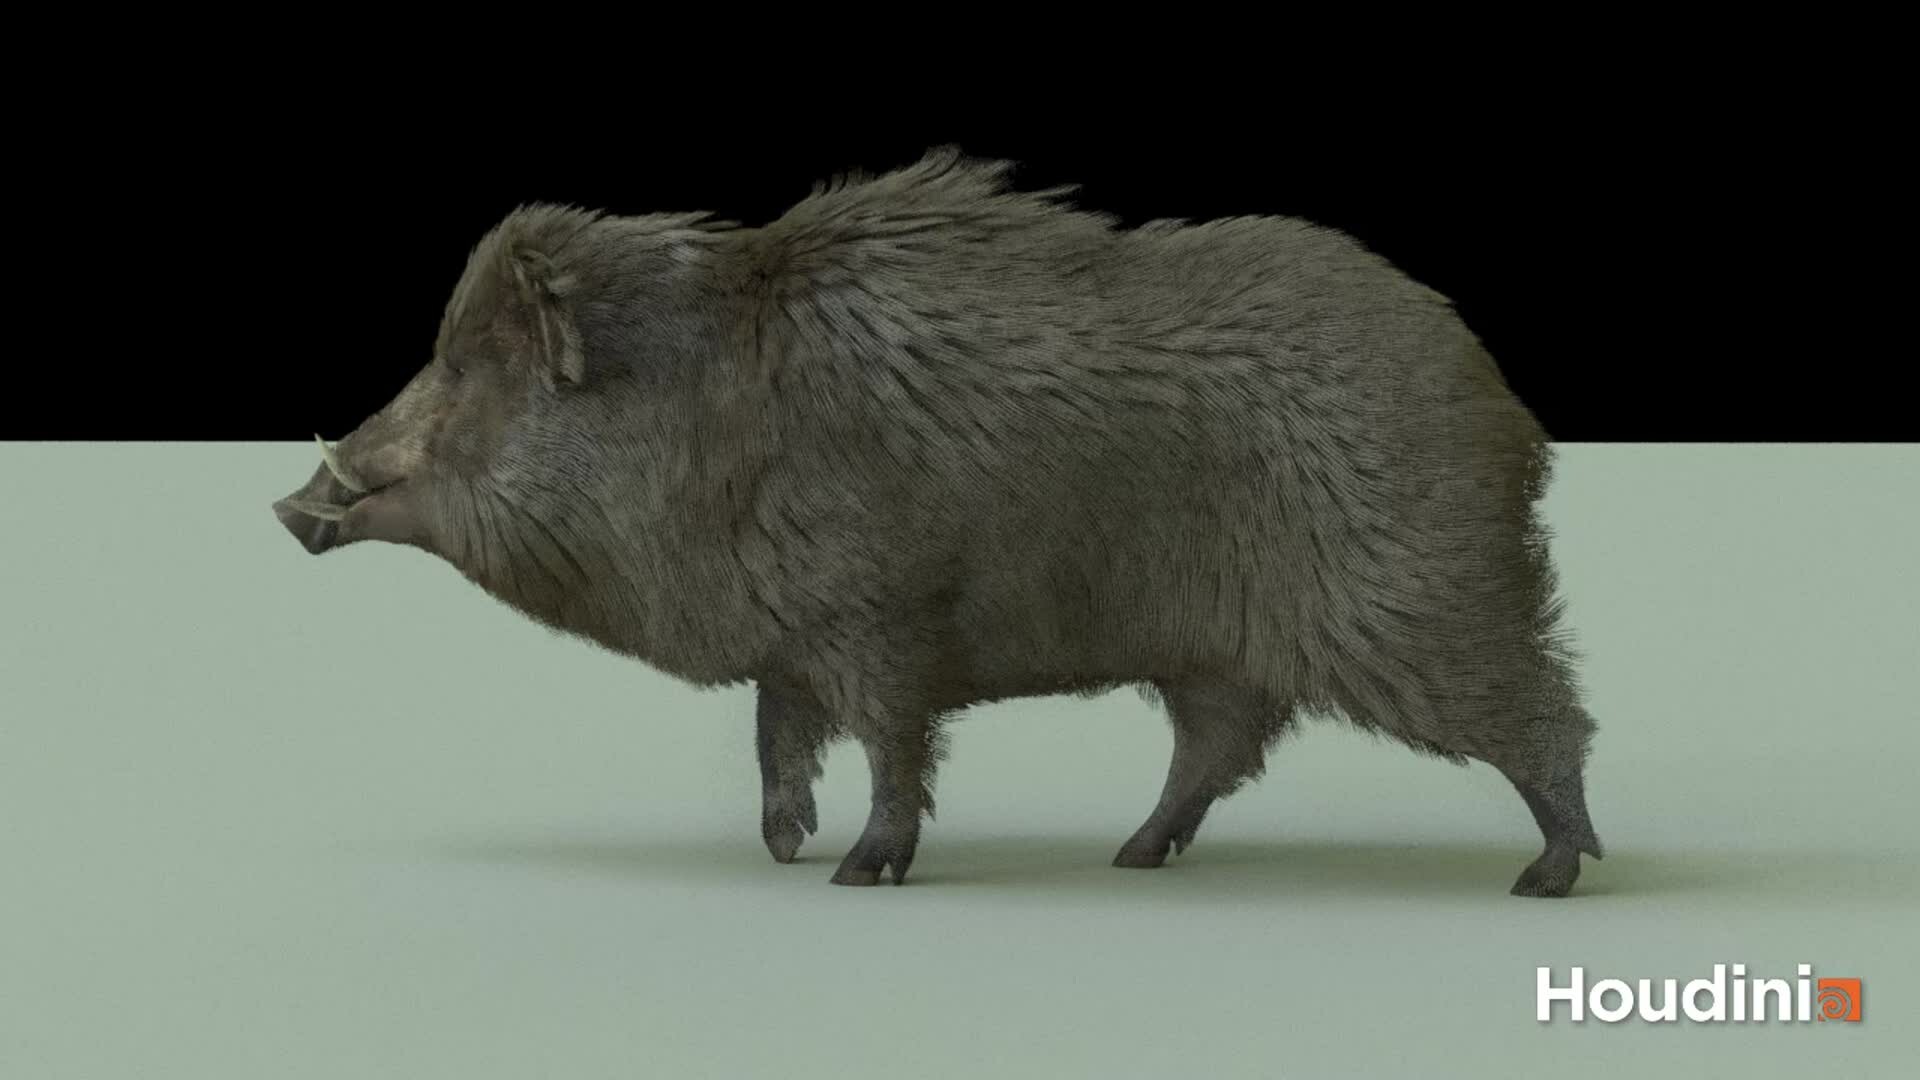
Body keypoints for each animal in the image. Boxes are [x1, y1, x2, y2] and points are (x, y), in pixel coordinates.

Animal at [272, 146, 1603, 896]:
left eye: (466, 369)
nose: (292, 503)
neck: (698, 430)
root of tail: (1507, 417)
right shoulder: (797, 638)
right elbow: (777, 734)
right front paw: (781, 849)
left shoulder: (877, 623)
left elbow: (891, 753)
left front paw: (858, 877)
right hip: (1218, 647)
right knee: (1218, 746)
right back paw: (1131, 858)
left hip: (1417, 600)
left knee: (1547, 716)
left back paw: (1547, 879)